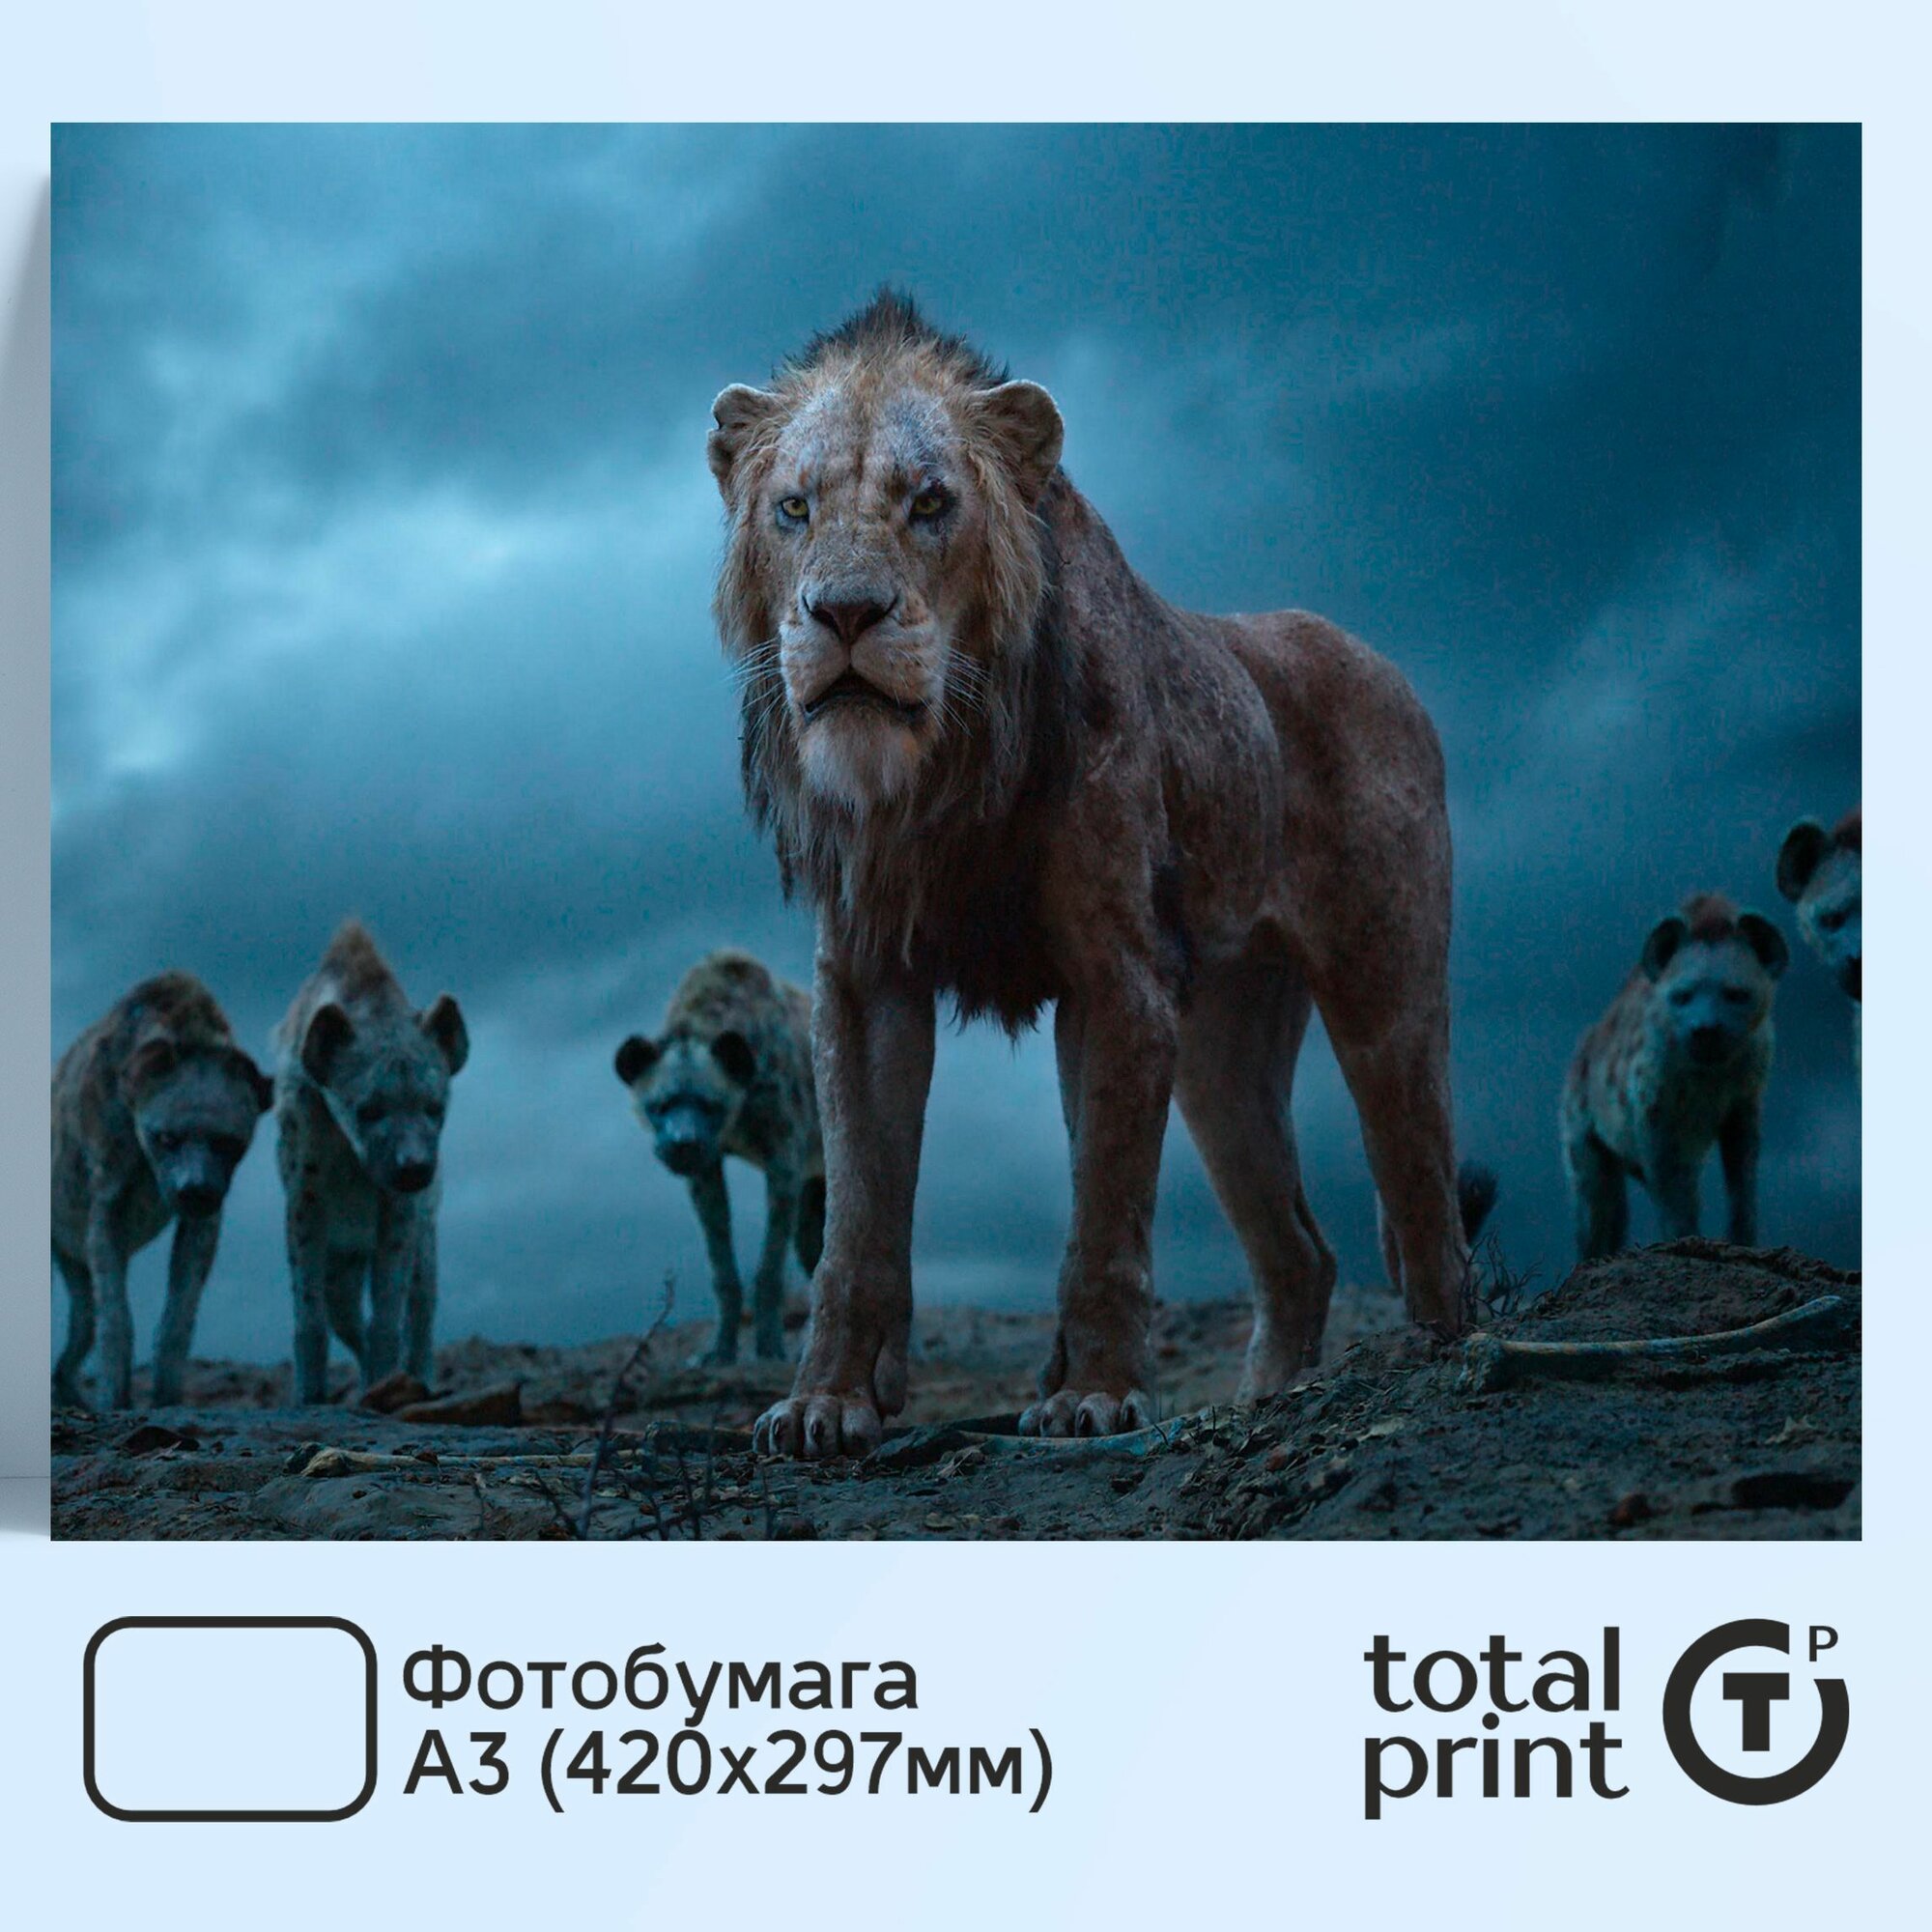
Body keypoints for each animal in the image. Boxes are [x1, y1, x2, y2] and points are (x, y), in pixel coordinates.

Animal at [708, 291, 1491, 1458]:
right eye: (794, 509)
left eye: (930, 503)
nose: (844, 612)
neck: (943, 771)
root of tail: (1389, 670)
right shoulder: (863, 981)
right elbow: (855, 1219)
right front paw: (825, 1402)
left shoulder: (1117, 973)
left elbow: (1106, 1207)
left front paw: (1094, 1395)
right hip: (1219, 1047)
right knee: (1300, 1250)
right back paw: (1264, 1398)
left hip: (1382, 989)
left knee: (1422, 1190)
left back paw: (1443, 1358)